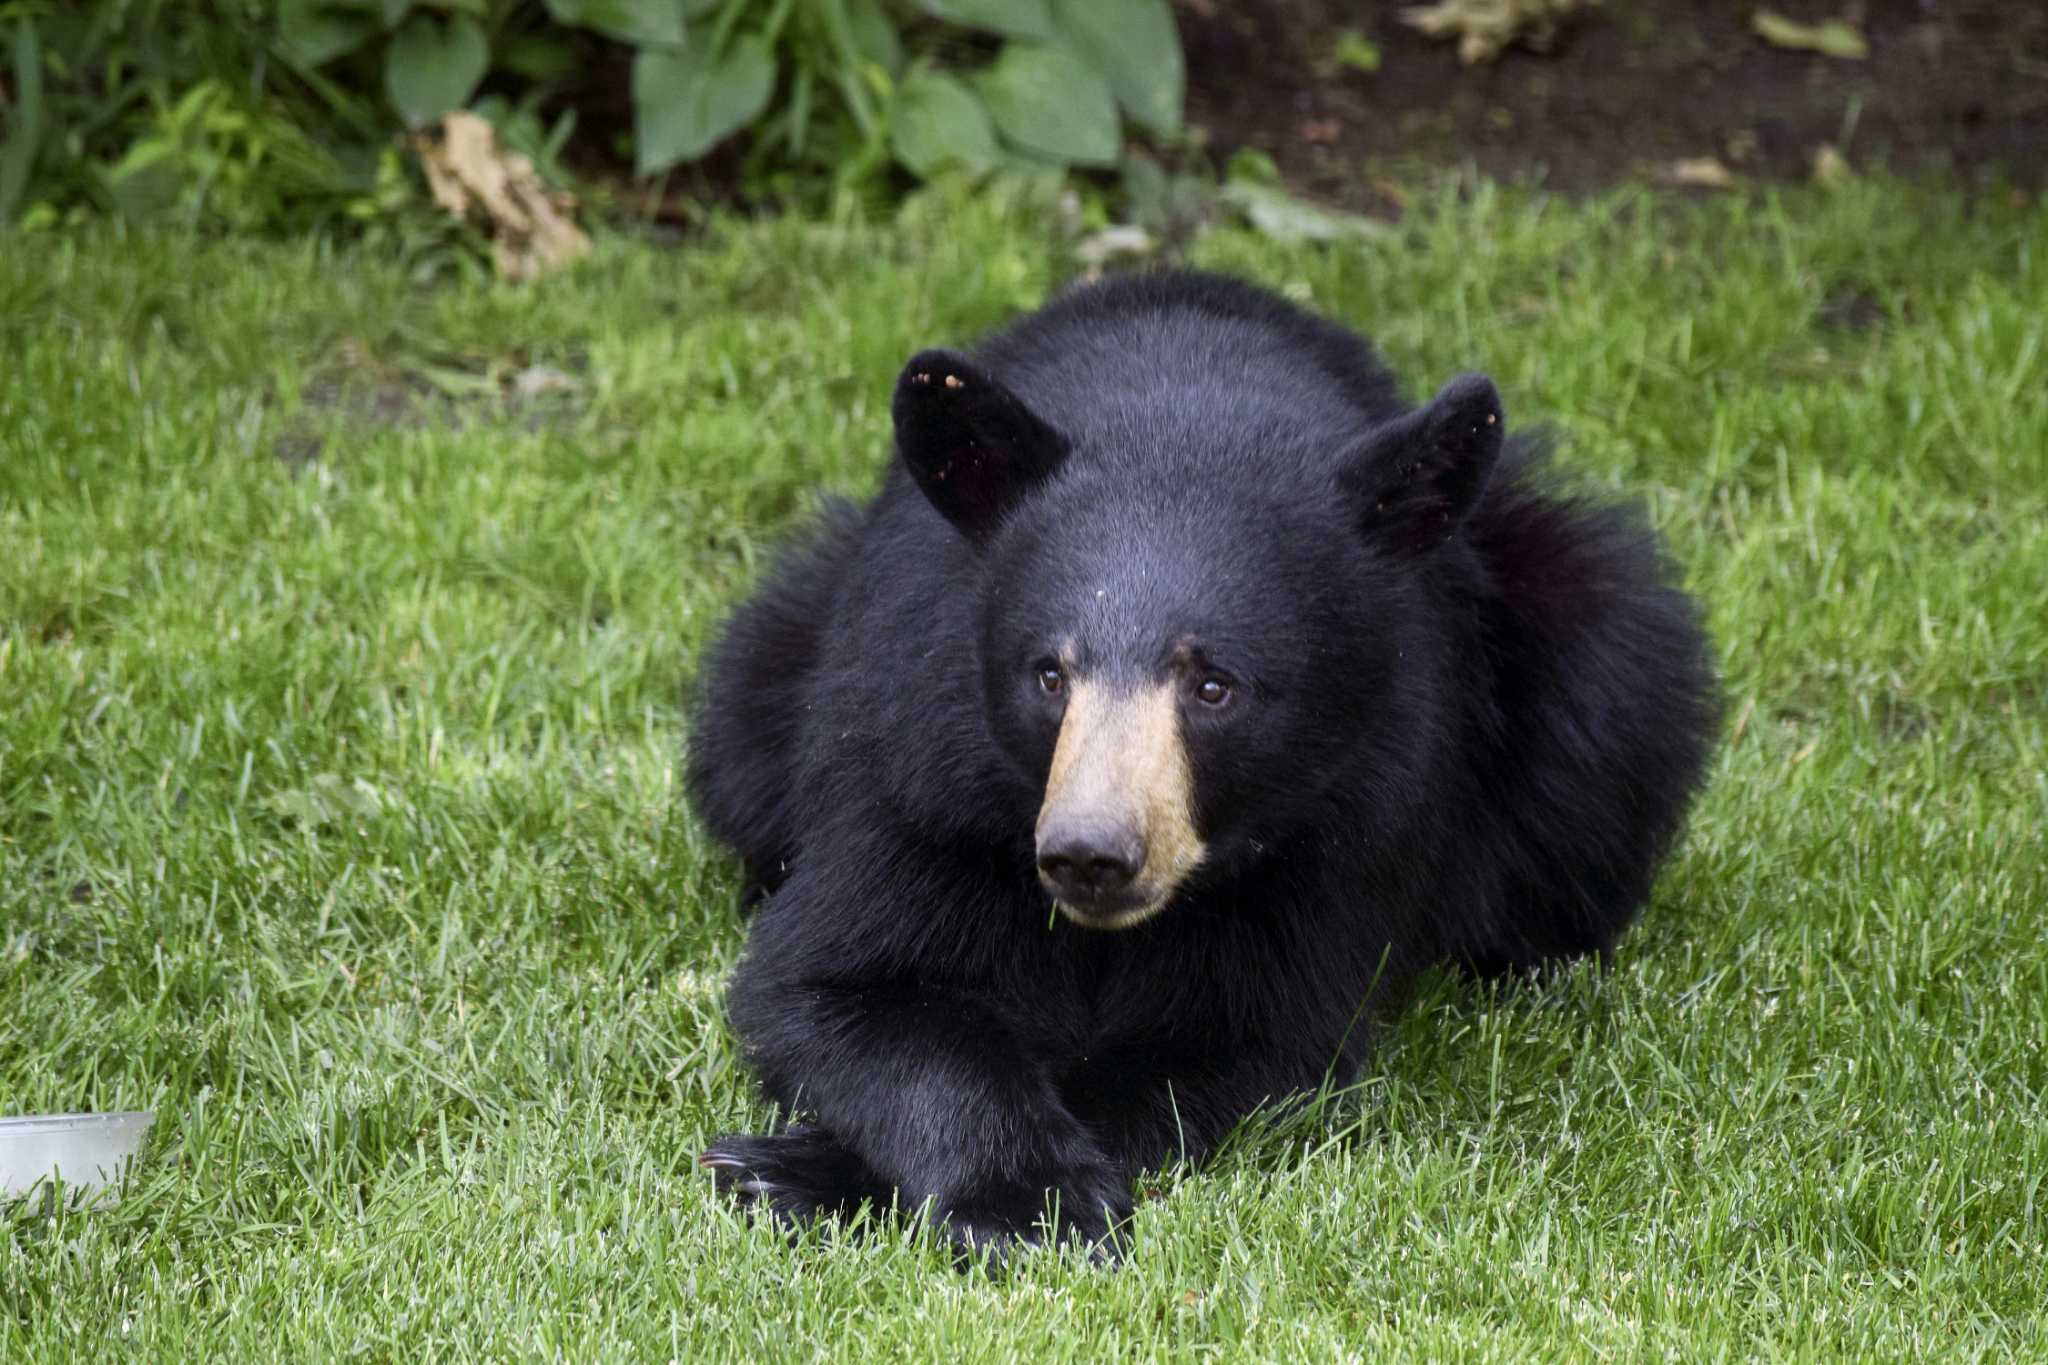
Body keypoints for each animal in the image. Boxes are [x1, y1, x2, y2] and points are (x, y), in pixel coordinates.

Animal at [686, 270, 1718, 1257]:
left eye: (1215, 685)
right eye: (1049, 672)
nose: (1090, 853)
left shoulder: (1343, 827)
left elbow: (1239, 1039)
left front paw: (913, 1185)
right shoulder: (918, 767)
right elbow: (844, 984)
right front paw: (982, 1191)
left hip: (1585, 647)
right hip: (773, 667)